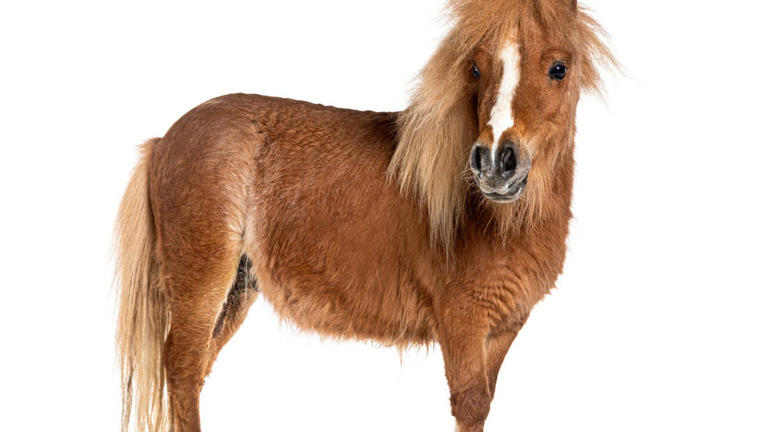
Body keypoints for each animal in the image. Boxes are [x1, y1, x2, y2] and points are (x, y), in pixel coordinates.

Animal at [115, 0, 613, 430]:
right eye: (476, 67)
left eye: (559, 68)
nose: (494, 162)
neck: (493, 219)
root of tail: (165, 140)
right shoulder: (462, 325)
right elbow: (469, 406)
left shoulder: (504, 329)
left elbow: (484, 403)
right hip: (202, 282)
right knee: (181, 370)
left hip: (236, 288)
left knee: (195, 371)